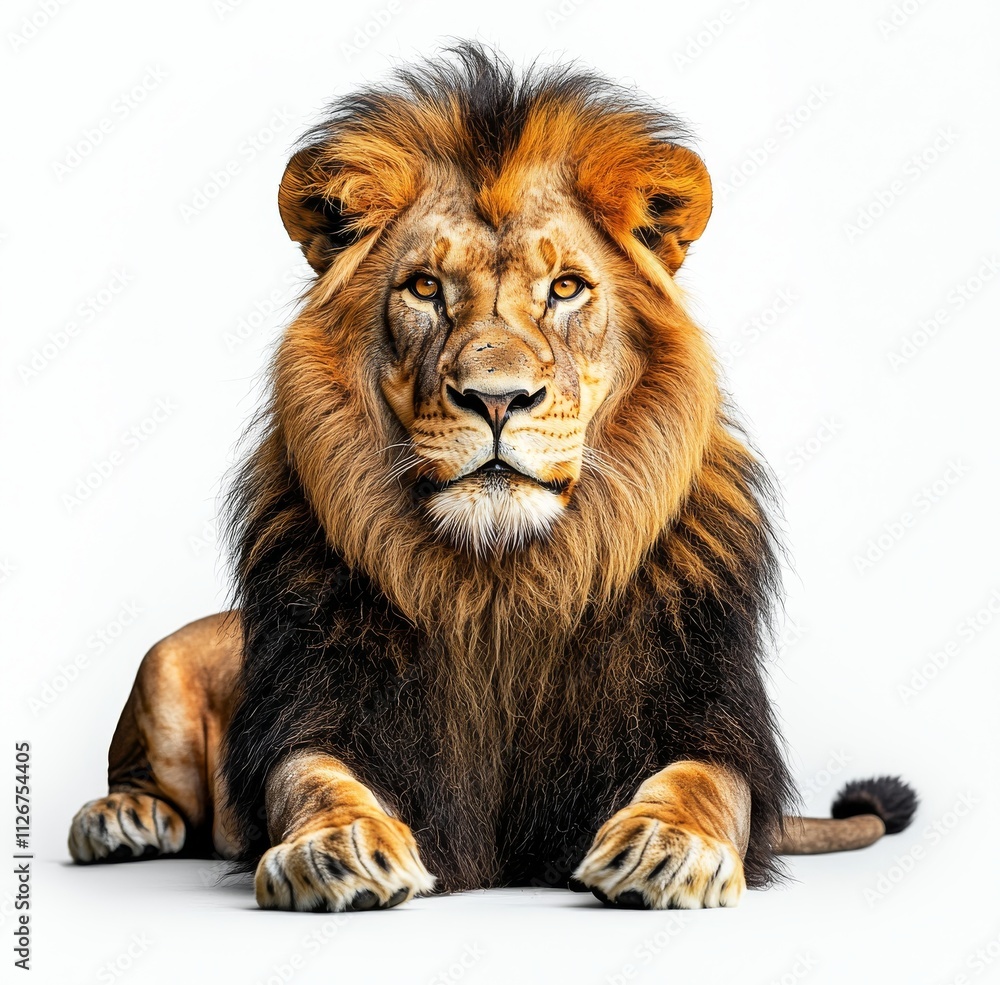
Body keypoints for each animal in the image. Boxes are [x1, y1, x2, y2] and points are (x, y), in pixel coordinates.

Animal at [68, 44, 916, 911]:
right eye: (425, 287)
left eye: (566, 287)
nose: (497, 398)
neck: (500, 585)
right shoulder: (319, 707)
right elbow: (313, 779)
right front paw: (336, 849)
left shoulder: (701, 709)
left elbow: (702, 781)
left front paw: (664, 845)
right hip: (165, 660)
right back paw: (123, 817)